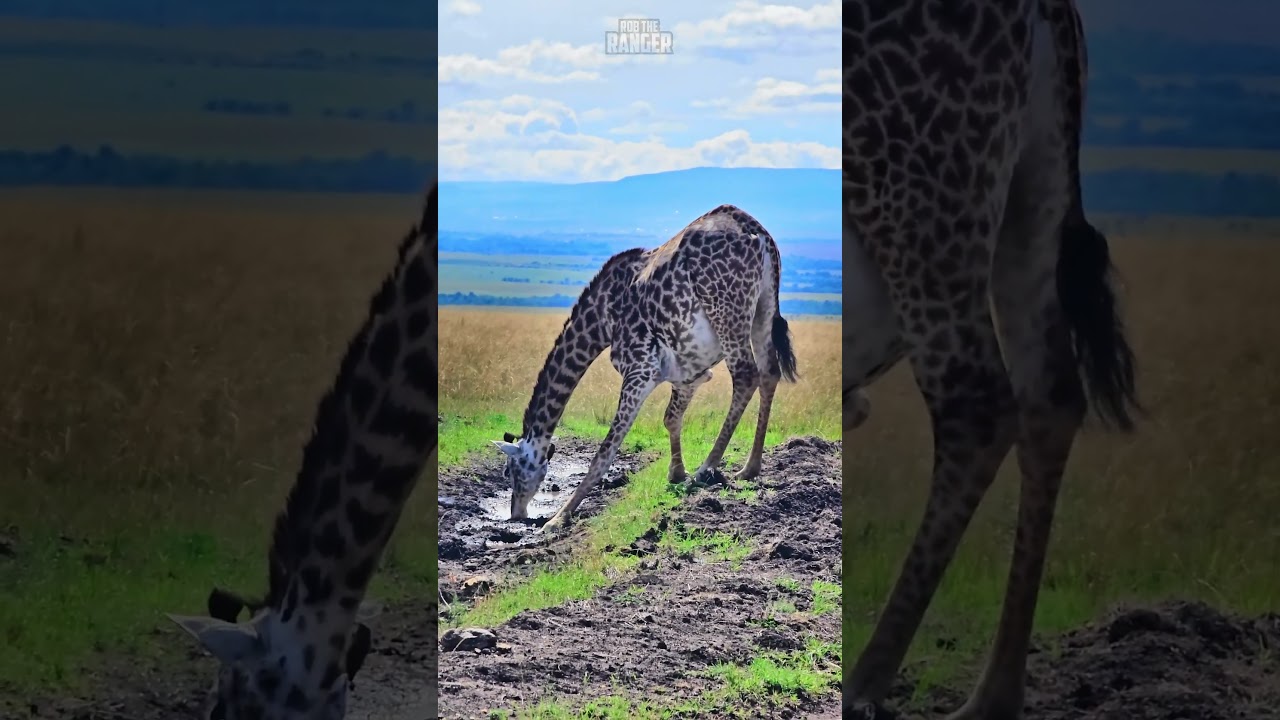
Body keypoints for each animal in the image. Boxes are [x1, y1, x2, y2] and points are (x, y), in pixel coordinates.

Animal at [493, 205, 799, 531]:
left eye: (510, 470)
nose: (516, 512)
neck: (602, 321)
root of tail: (756, 233)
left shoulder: (639, 370)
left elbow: (606, 449)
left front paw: (559, 518)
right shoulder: (690, 372)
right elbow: (671, 418)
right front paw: (676, 473)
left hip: (727, 309)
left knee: (746, 375)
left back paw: (705, 471)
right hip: (763, 304)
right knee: (769, 372)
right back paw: (749, 468)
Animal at [841, 2, 1139, 719]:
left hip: (925, 206)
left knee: (977, 407)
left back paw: (864, 682)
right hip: (1031, 195)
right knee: (1051, 396)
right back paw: (993, 695)